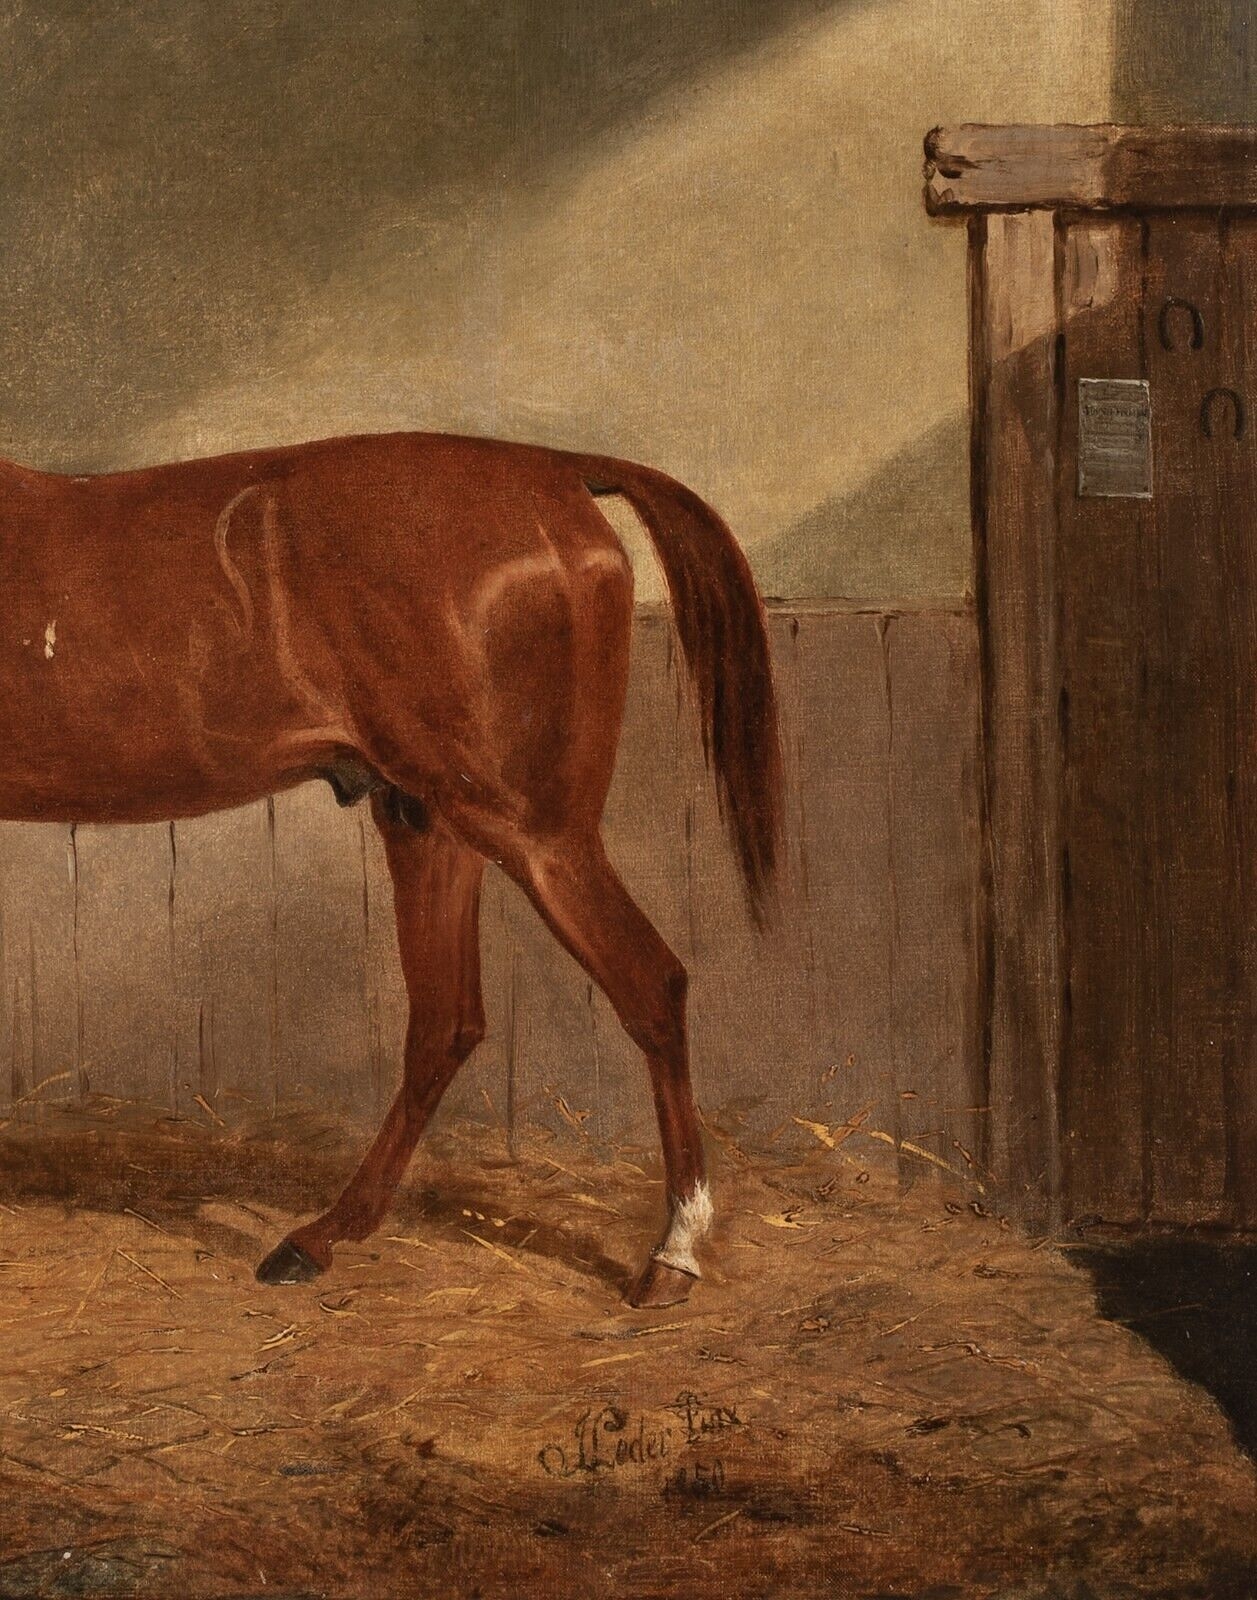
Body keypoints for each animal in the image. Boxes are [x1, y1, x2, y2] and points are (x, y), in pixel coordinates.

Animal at [0, 430, 782, 1308]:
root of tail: (555, 470)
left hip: (532, 833)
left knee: (649, 986)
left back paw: (672, 1254)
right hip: (428, 822)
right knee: (447, 1022)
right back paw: (319, 1238)